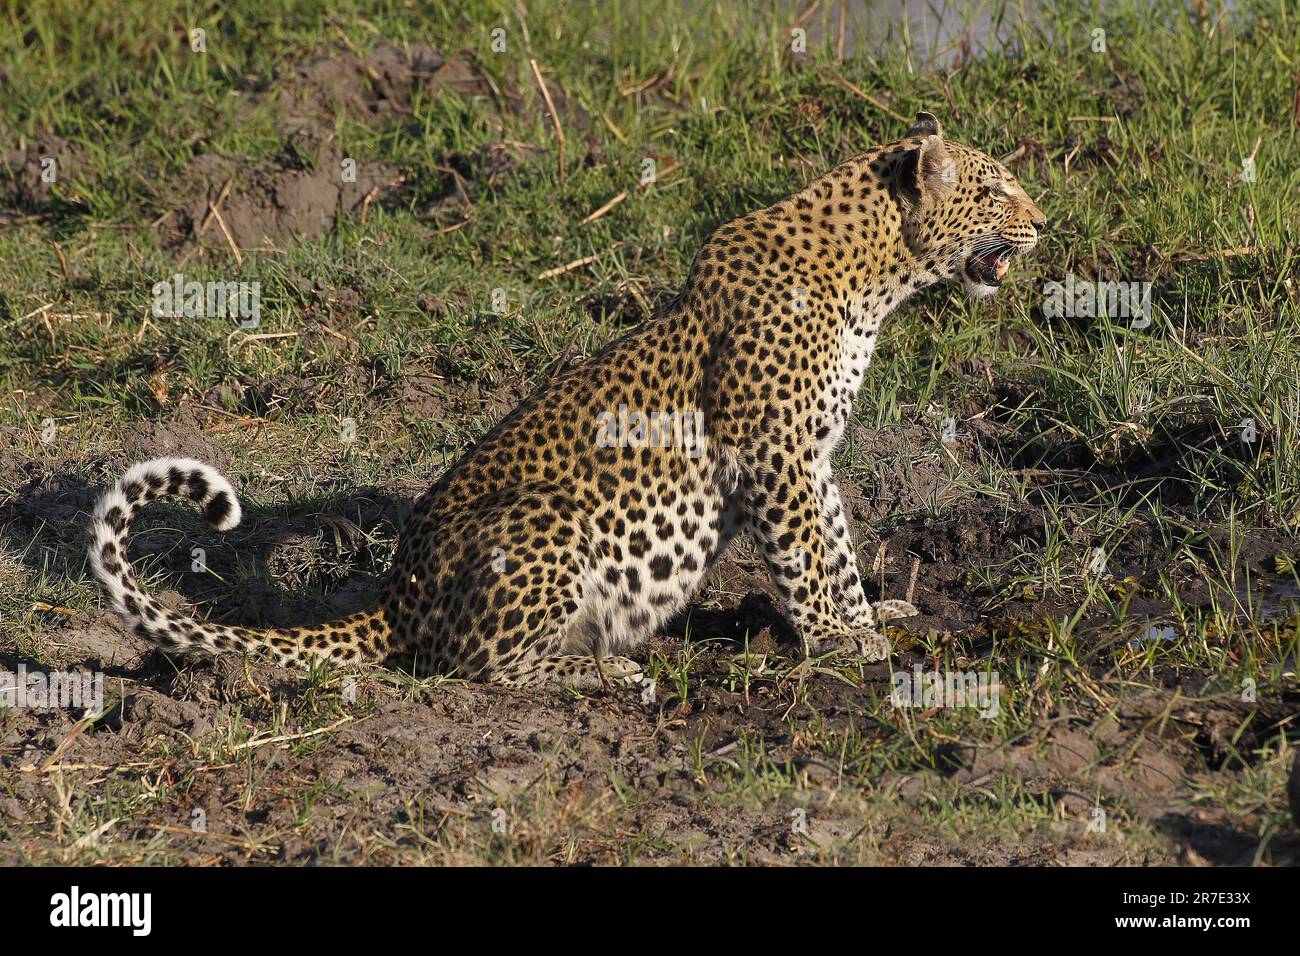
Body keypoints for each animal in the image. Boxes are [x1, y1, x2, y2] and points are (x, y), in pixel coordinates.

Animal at [88, 111, 1044, 689]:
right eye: (996, 189)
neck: (877, 277)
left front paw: (873, 617)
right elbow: (807, 559)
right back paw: (606, 671)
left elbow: (838, 546)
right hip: (546, 522)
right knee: (477, 668)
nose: (1042, 222)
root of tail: (394, 595)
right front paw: (843, 646)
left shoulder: (812, 456)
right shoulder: (775, 453)